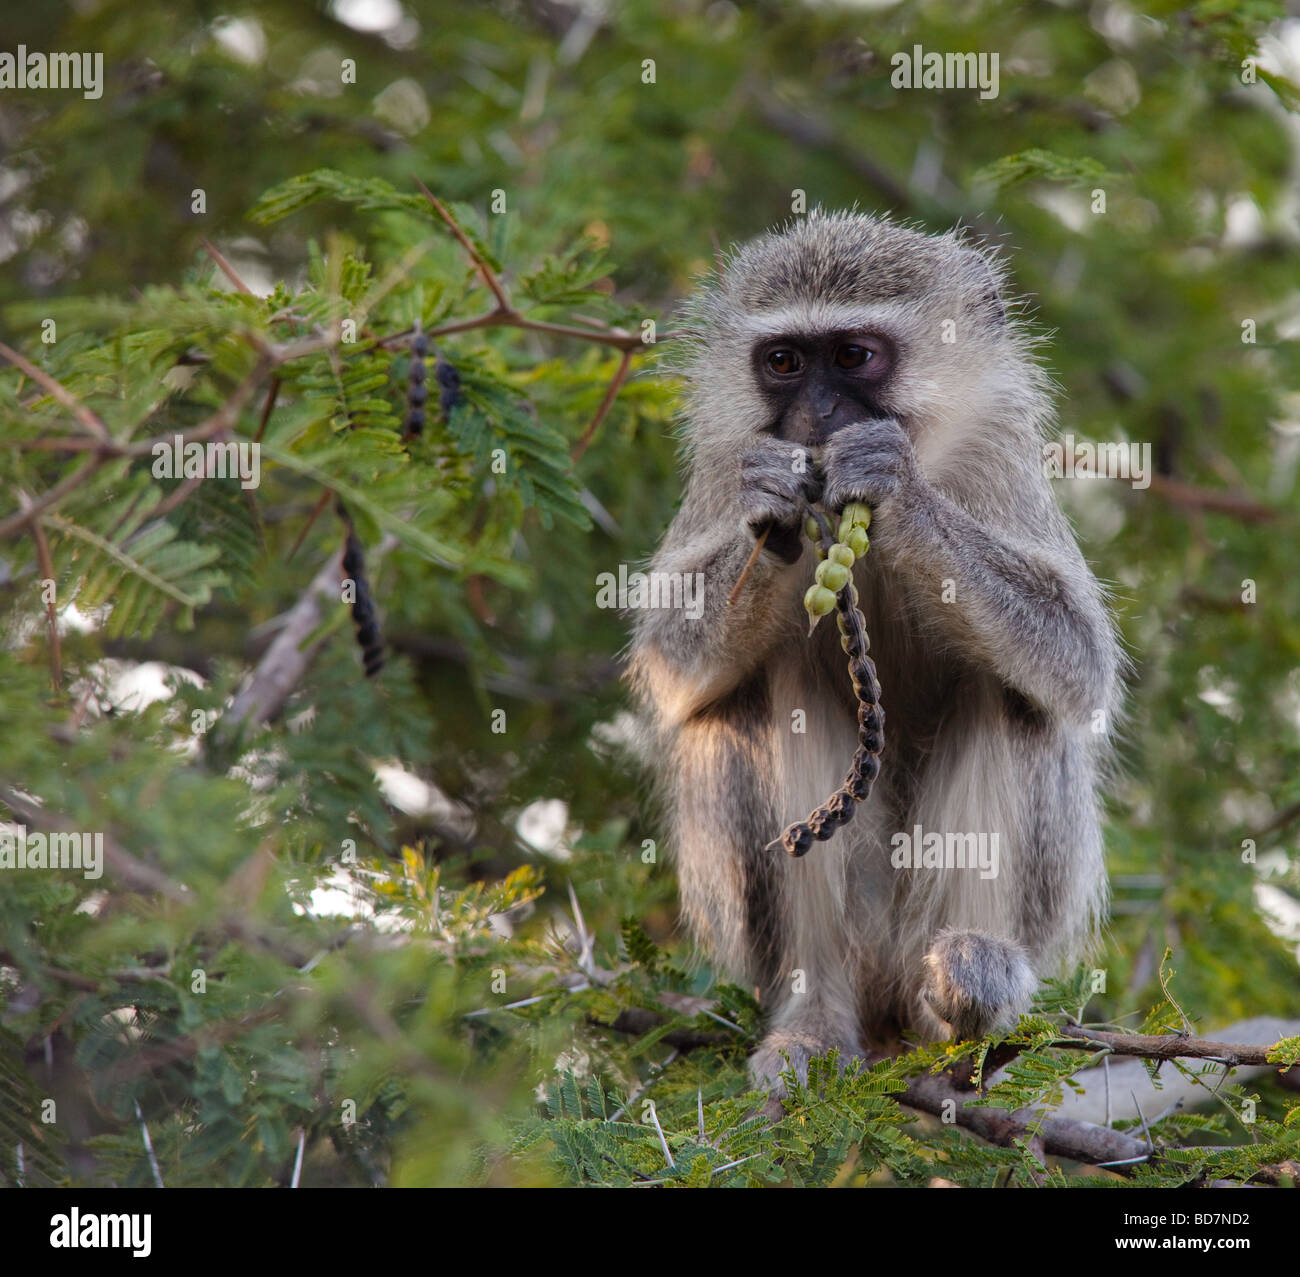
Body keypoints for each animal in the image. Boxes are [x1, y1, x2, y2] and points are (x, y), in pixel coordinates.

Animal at [627, 210, 1123, 1098]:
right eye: (785, 362)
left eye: (854, 356)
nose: (818, 416)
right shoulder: (724, 459)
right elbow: (671, 662)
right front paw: (774, 504)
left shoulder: (1001, 449)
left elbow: (1078, 655)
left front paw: (898, 491)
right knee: (750, 696)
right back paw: (812, 1017)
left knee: (1020, 696)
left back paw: (973, 988)